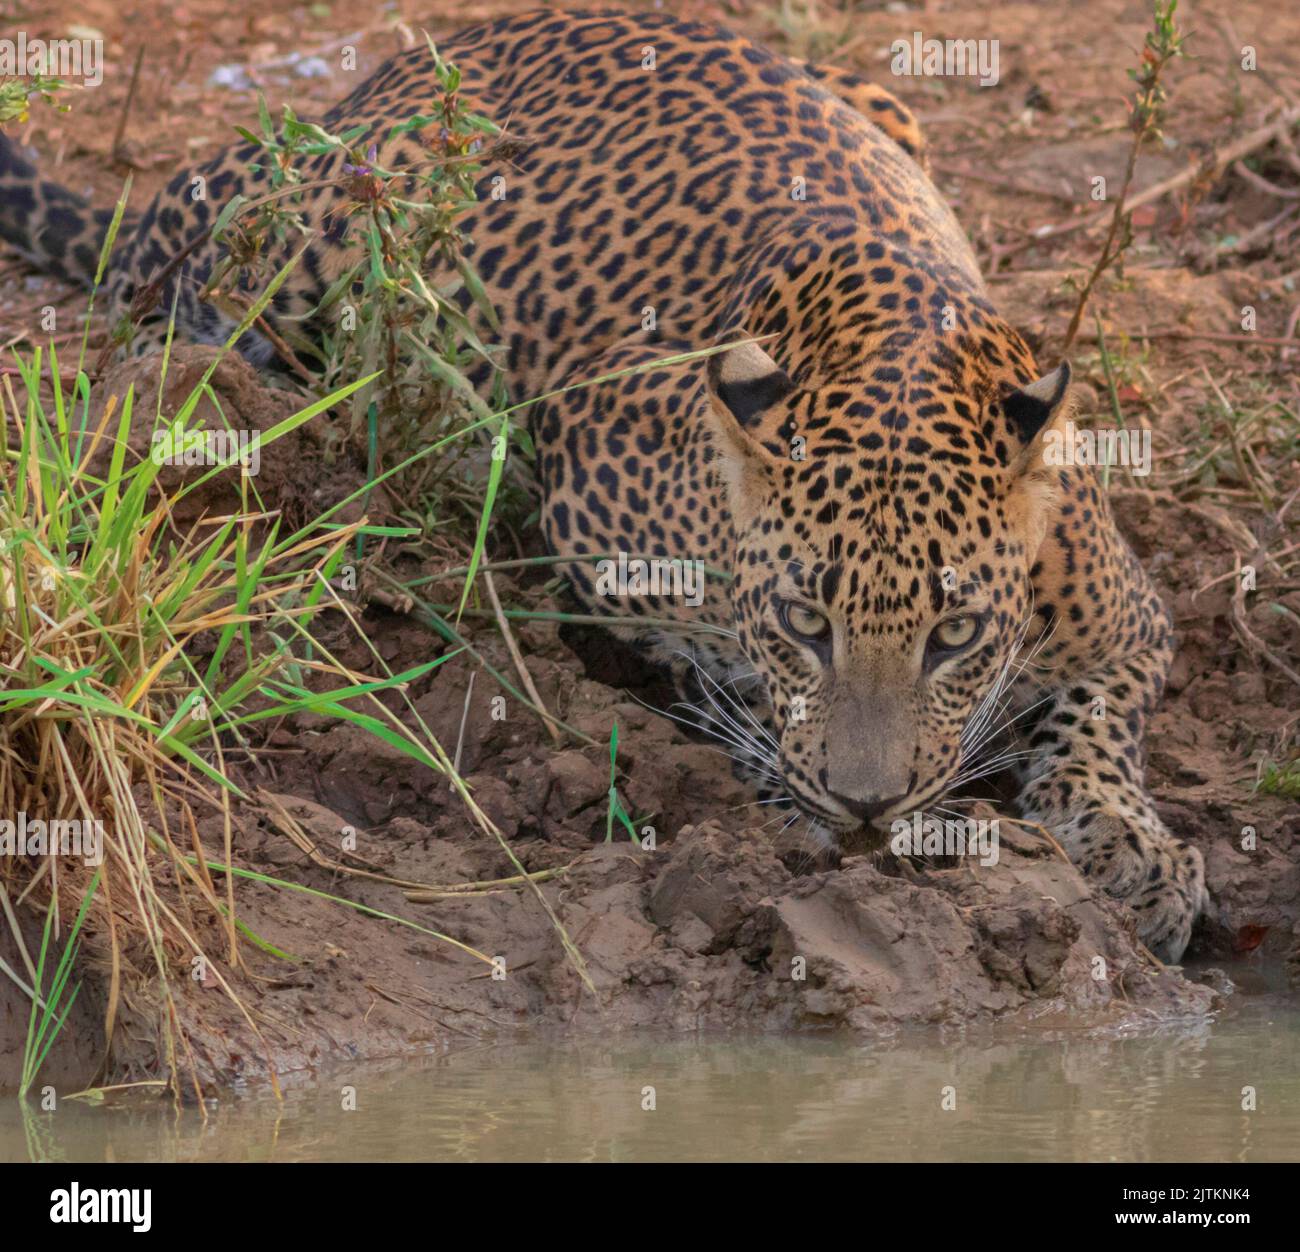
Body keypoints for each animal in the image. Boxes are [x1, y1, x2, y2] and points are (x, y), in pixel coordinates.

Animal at [0, 8, 1207, 961]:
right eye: (805, 625)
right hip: (316, 237)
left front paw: (1139, 851)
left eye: (953, 637)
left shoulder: (1132, 625)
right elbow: (738, 687)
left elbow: (1097, 726)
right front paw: (783, 768)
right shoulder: (598, 504)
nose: (869, 809)